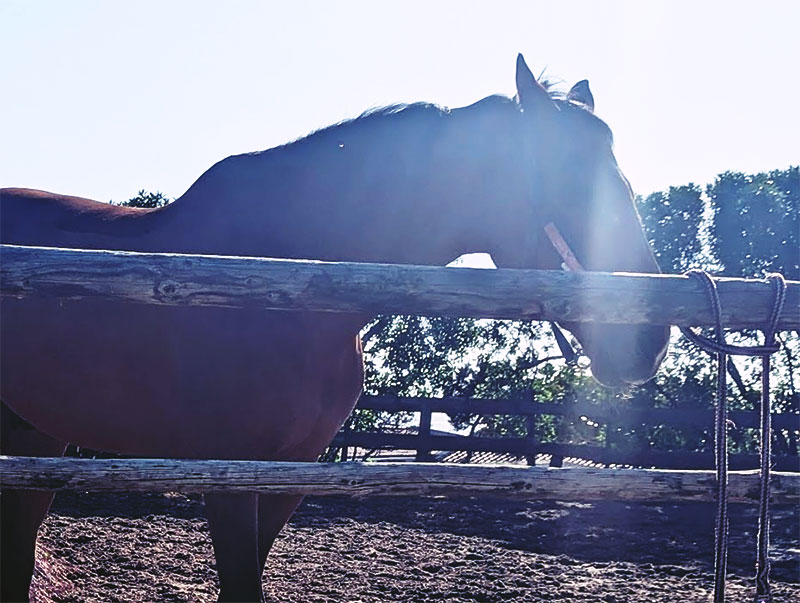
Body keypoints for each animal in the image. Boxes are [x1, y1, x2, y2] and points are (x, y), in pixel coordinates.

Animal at [0, 54, 670, 602]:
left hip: (38, 436)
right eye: (567, 176)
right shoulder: (230, 477)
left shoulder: (291, 475)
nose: (649, 339)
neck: (289, 281)